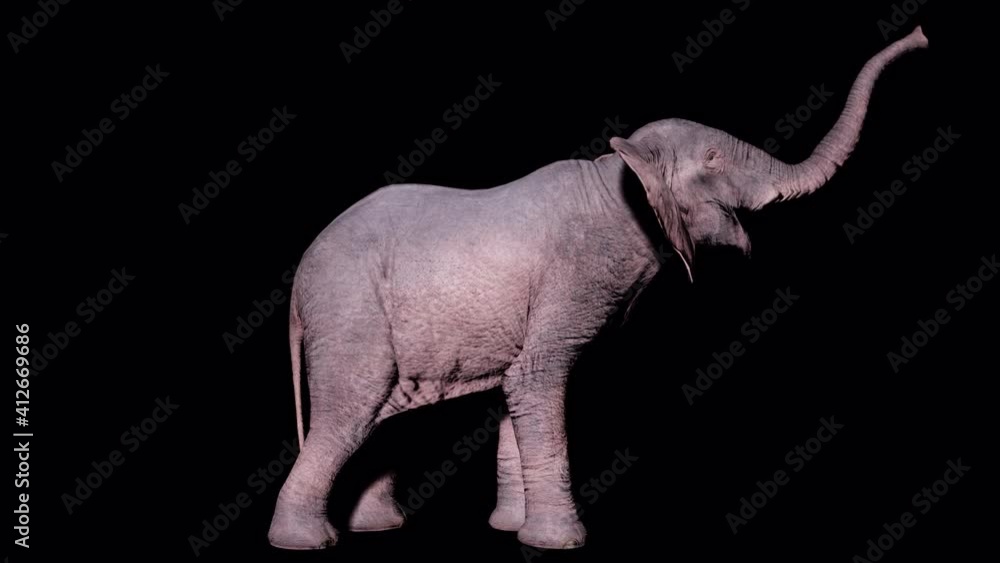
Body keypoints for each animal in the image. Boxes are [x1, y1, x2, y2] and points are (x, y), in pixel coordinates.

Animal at [268, 27, 927, 551]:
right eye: (714, 157)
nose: (921, 36)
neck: (619, 171)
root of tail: (299, 281)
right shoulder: (572, 275)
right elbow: (536, 379)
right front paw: (558, 544)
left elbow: (515, 392)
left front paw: (512, 531)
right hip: (351, 313)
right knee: (352, 408)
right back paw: (305, 543)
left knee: (374, 416)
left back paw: (375, 529)